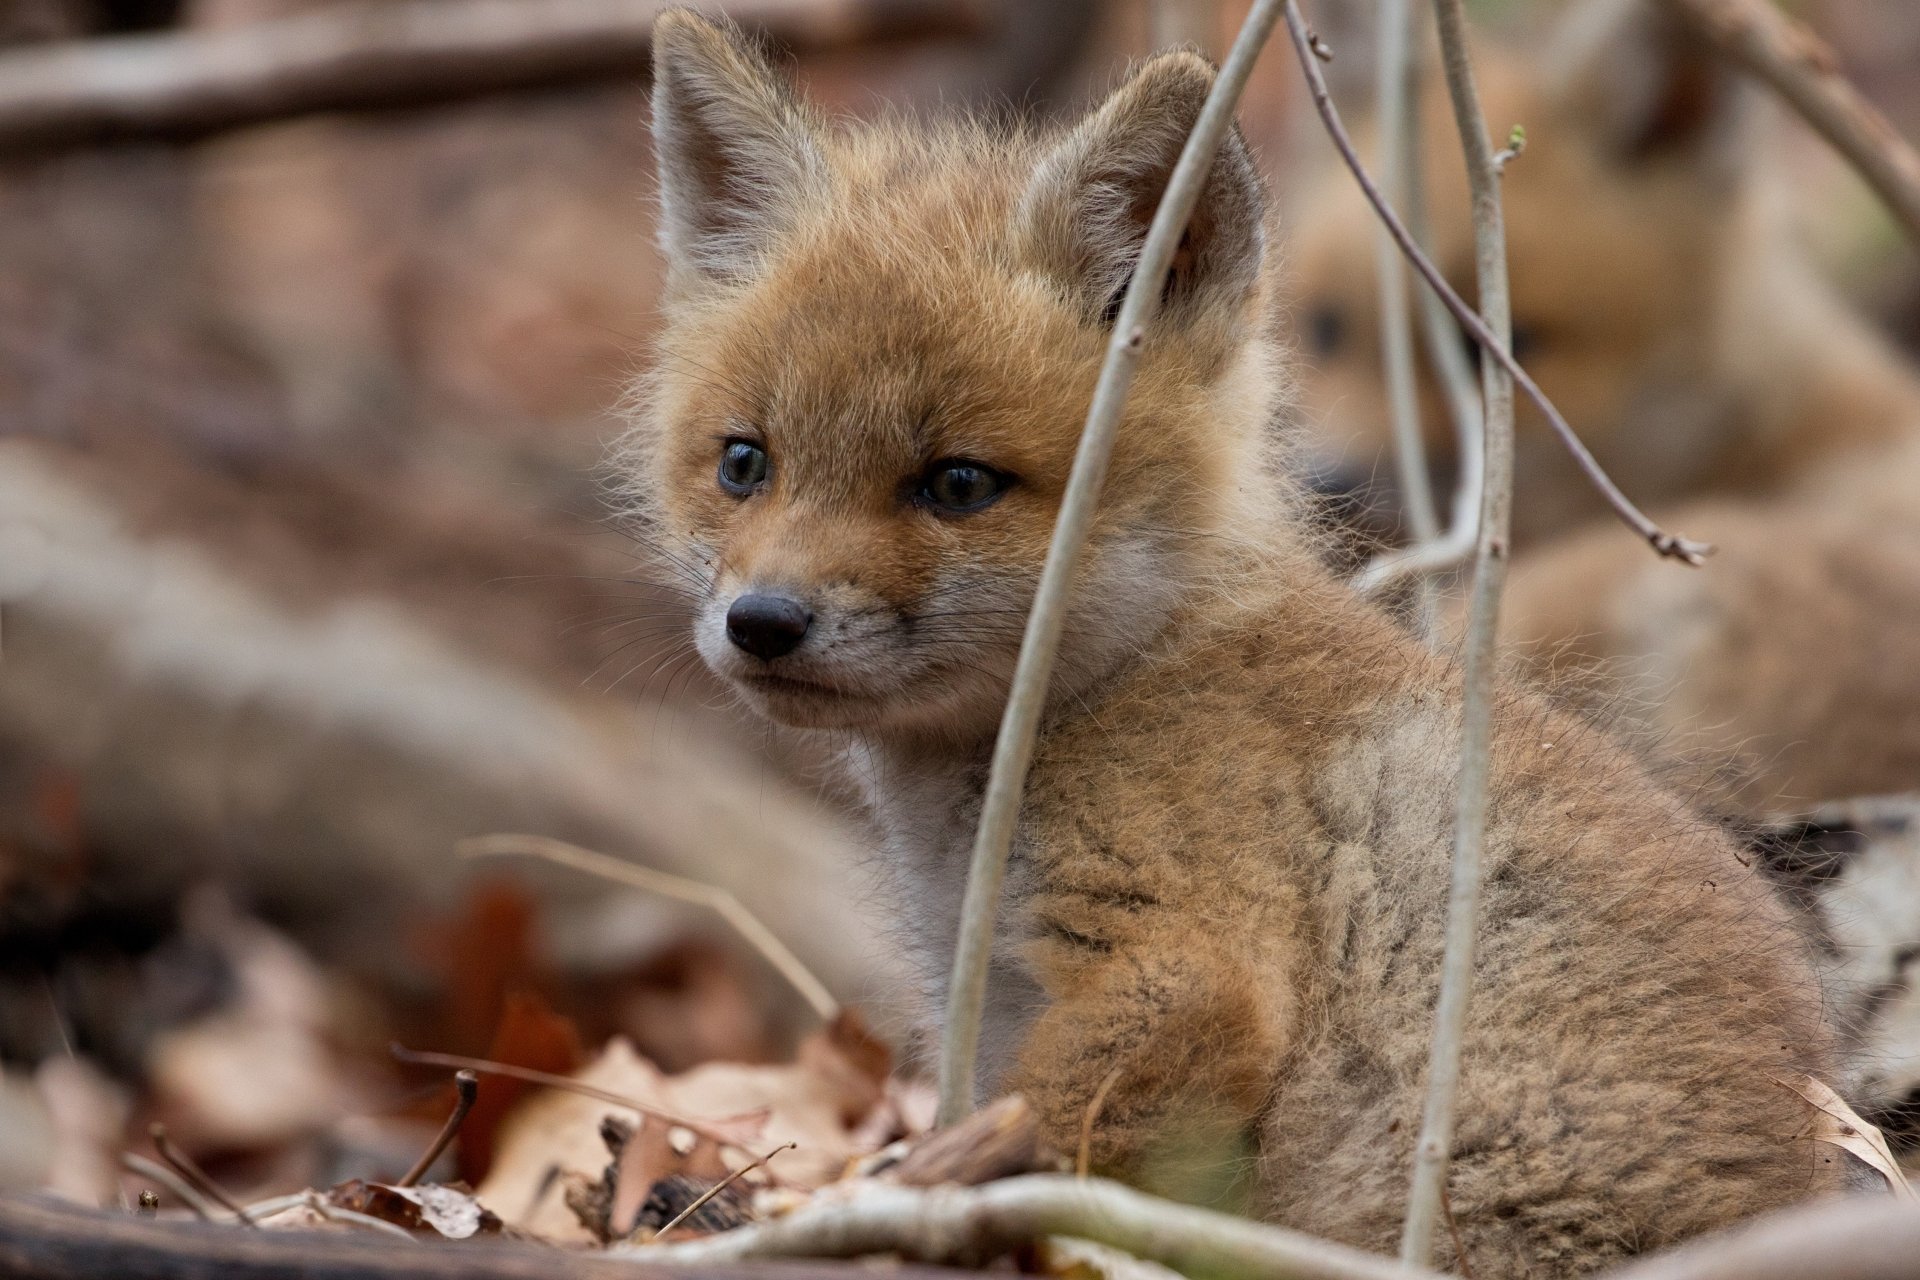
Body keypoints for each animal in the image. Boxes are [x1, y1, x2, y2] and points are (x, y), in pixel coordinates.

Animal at [626, 11, 1849, 1274]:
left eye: (958, 484)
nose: (763, 621)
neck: (1112, 681)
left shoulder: (1187, 965)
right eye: (743, 463)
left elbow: (1022, 1156)